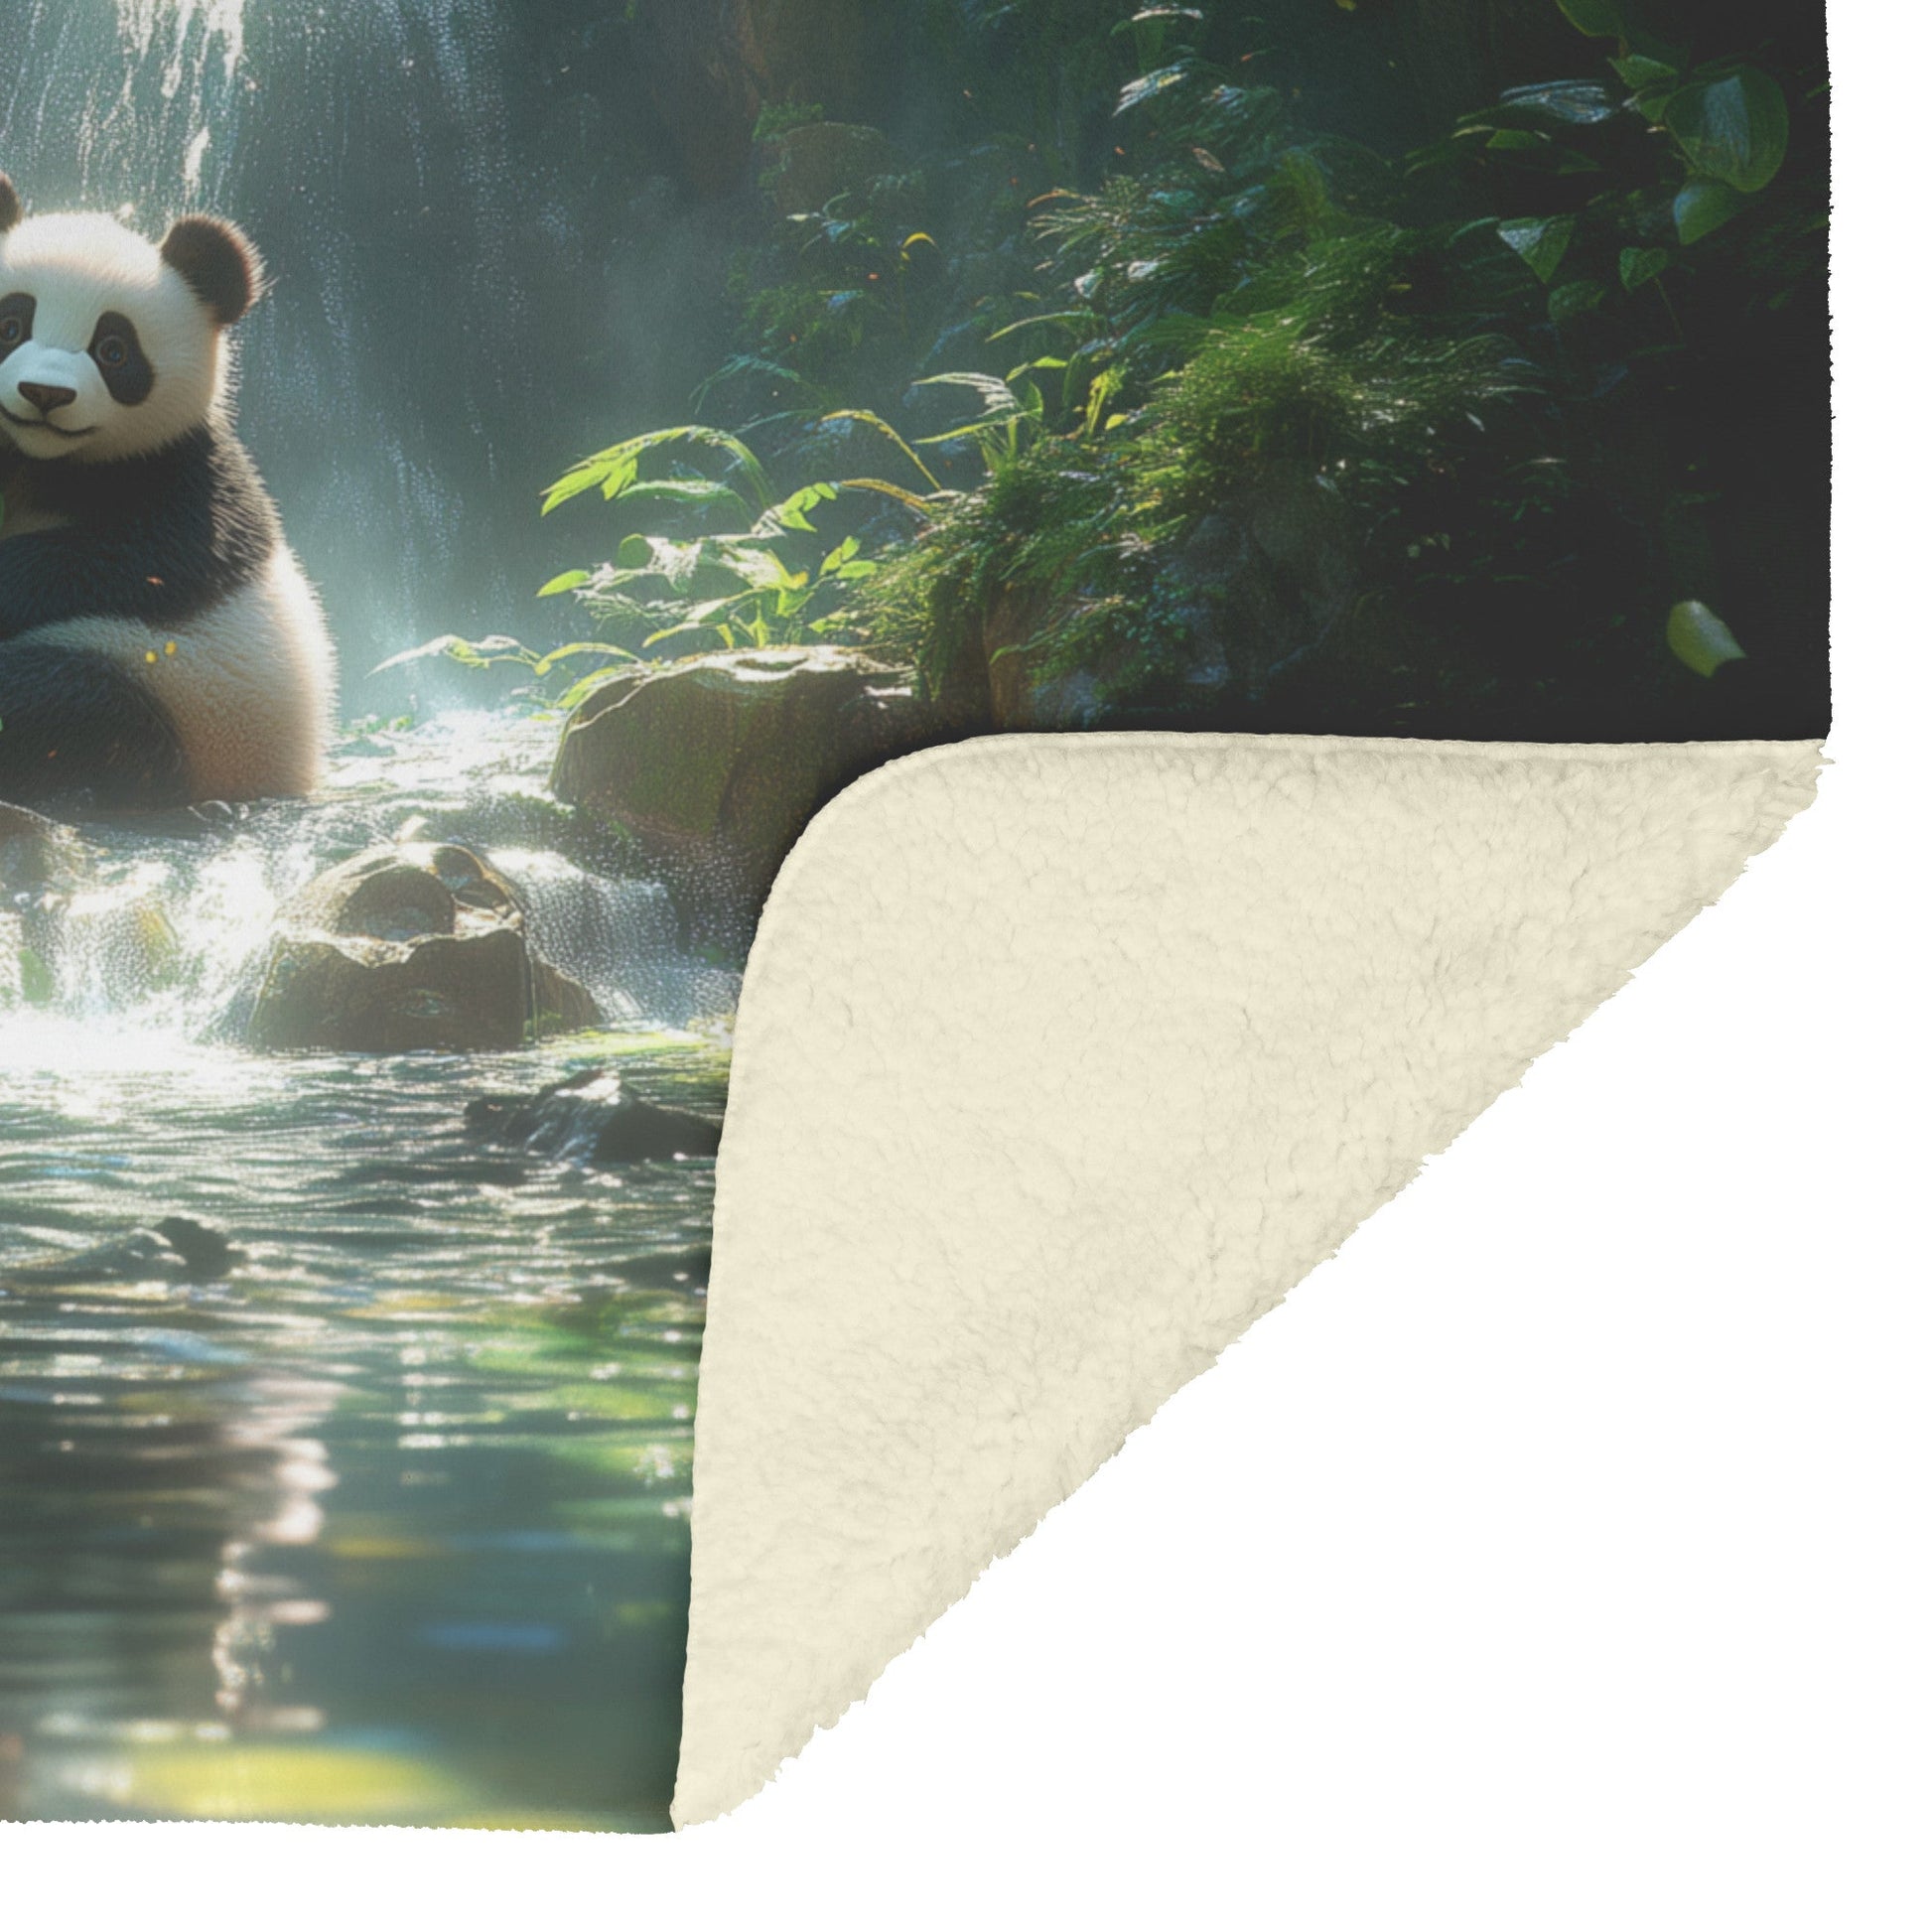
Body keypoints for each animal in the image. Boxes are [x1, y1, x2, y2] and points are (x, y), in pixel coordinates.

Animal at [0, 172, 335, 812]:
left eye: (113, 351)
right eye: (11, 327)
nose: (45, 393)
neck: (38, 461)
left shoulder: (189, 476)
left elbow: (135, 557)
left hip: (178, 701)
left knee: (60, 698)